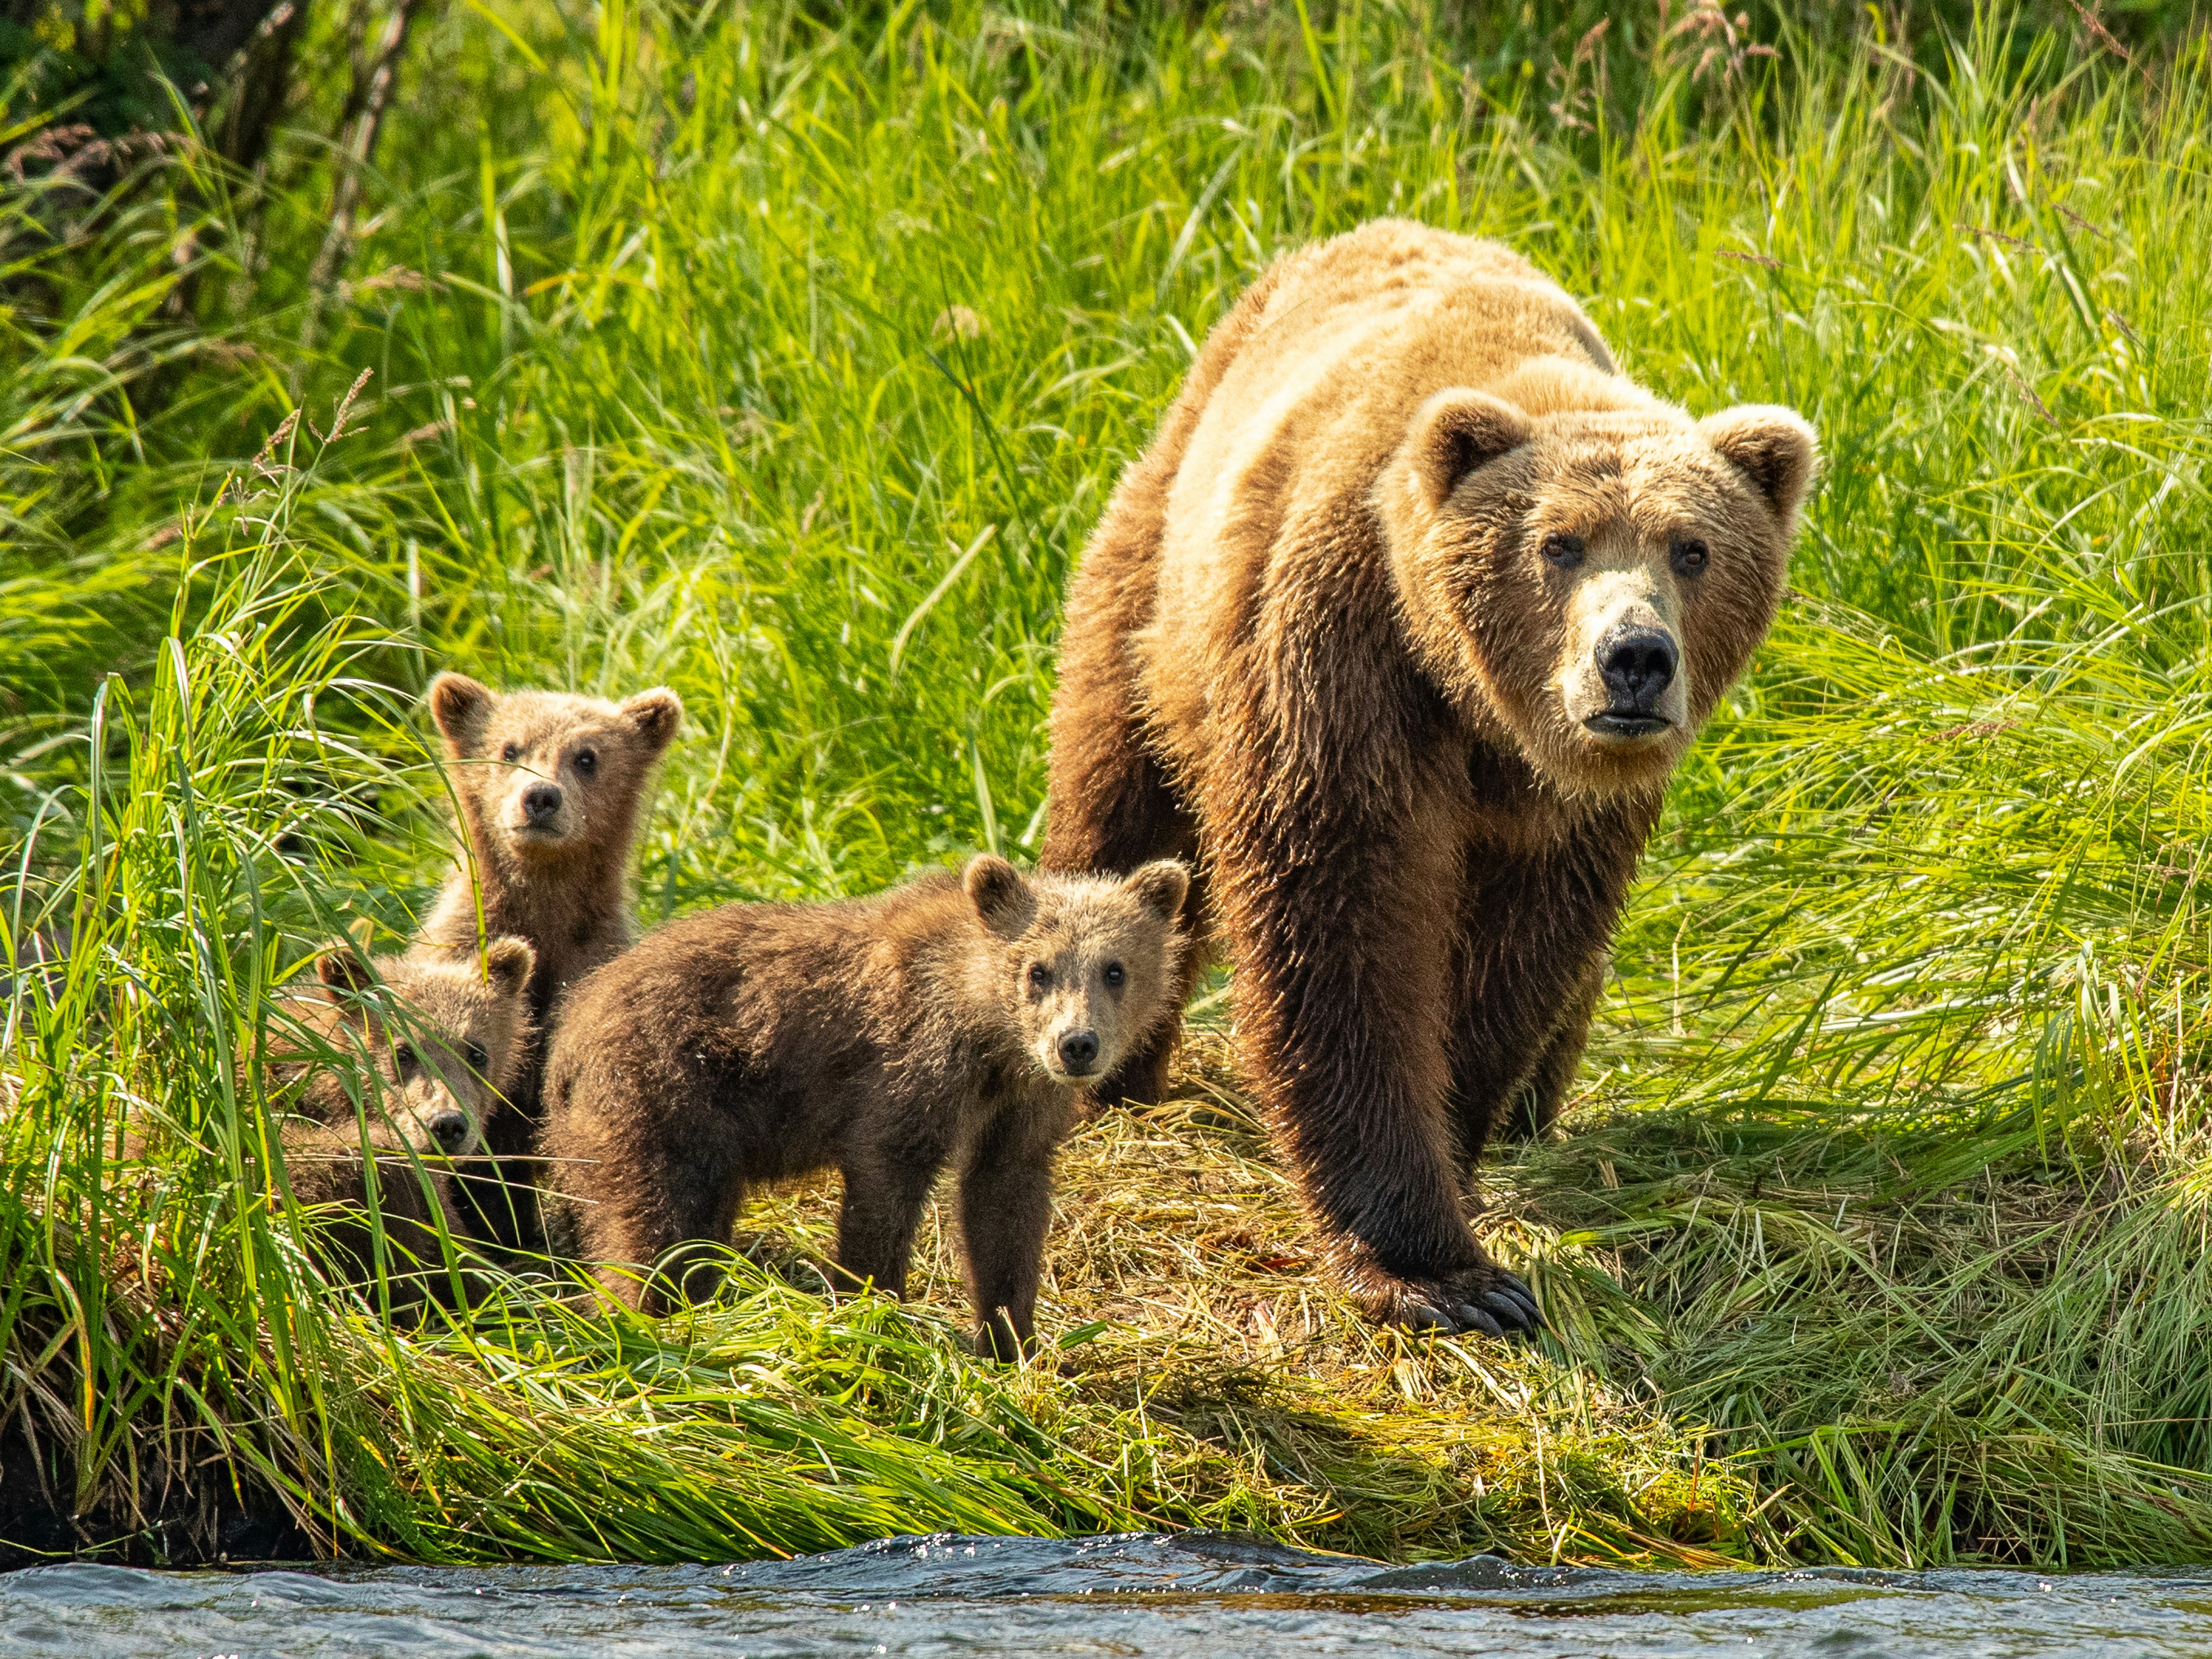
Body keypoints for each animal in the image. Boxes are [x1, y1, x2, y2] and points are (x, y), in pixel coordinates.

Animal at [537, 853, 1191, 1358]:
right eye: (1039, 969)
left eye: (1115, 970)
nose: (1076, 1044)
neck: (989, 1039)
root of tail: (572, 1022)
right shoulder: (910, 1071)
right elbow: (883, 1190)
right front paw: (872, 1314)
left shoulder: (1020, 1107)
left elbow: (1004, 1208)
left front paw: (1014, 1342)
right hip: (664, 1091)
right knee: (655, 1220)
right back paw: (648, 1321)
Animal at [1041, 219, 1816, 1339]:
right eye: (1558, 543)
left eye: (1694, 547)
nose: (1634, 659)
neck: (1484, 704)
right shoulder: (1345, 660)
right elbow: (1343, 923)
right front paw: (1441, 1270)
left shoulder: (1570, 806)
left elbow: (1519, 950)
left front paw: (1462, 1139)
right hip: (1158, 596)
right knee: (1120, 804)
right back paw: (1111, 1063)